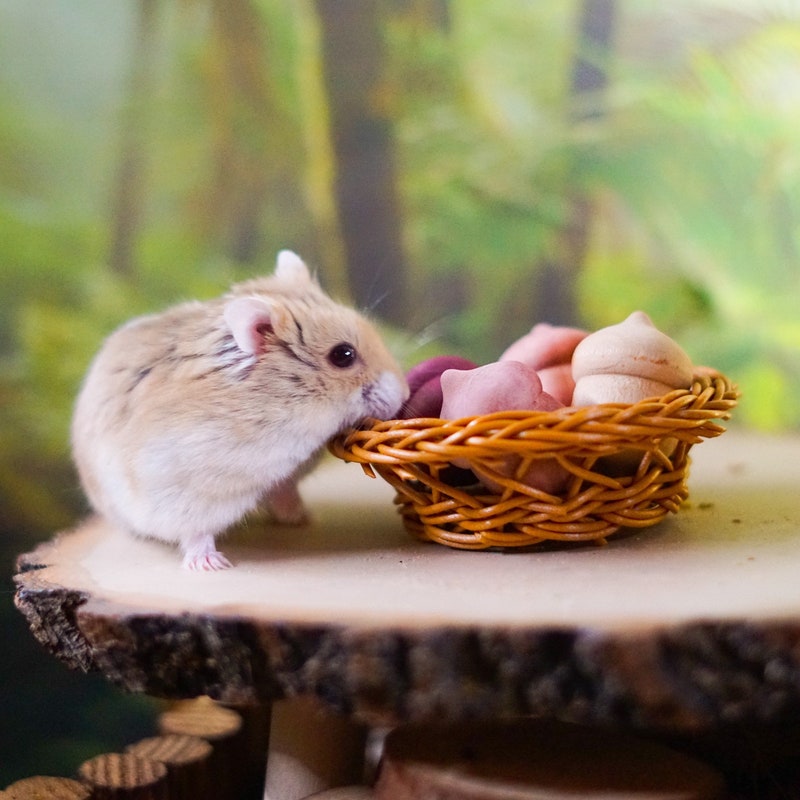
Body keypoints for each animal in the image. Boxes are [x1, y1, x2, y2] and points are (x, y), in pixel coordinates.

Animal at [71, 250, 408, 571]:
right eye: (343, 355)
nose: (404, 395)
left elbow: (282, 488)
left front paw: (304, 517)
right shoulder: (179, 489)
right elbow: (195, 532)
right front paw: (211, 566)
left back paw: (301, 517)